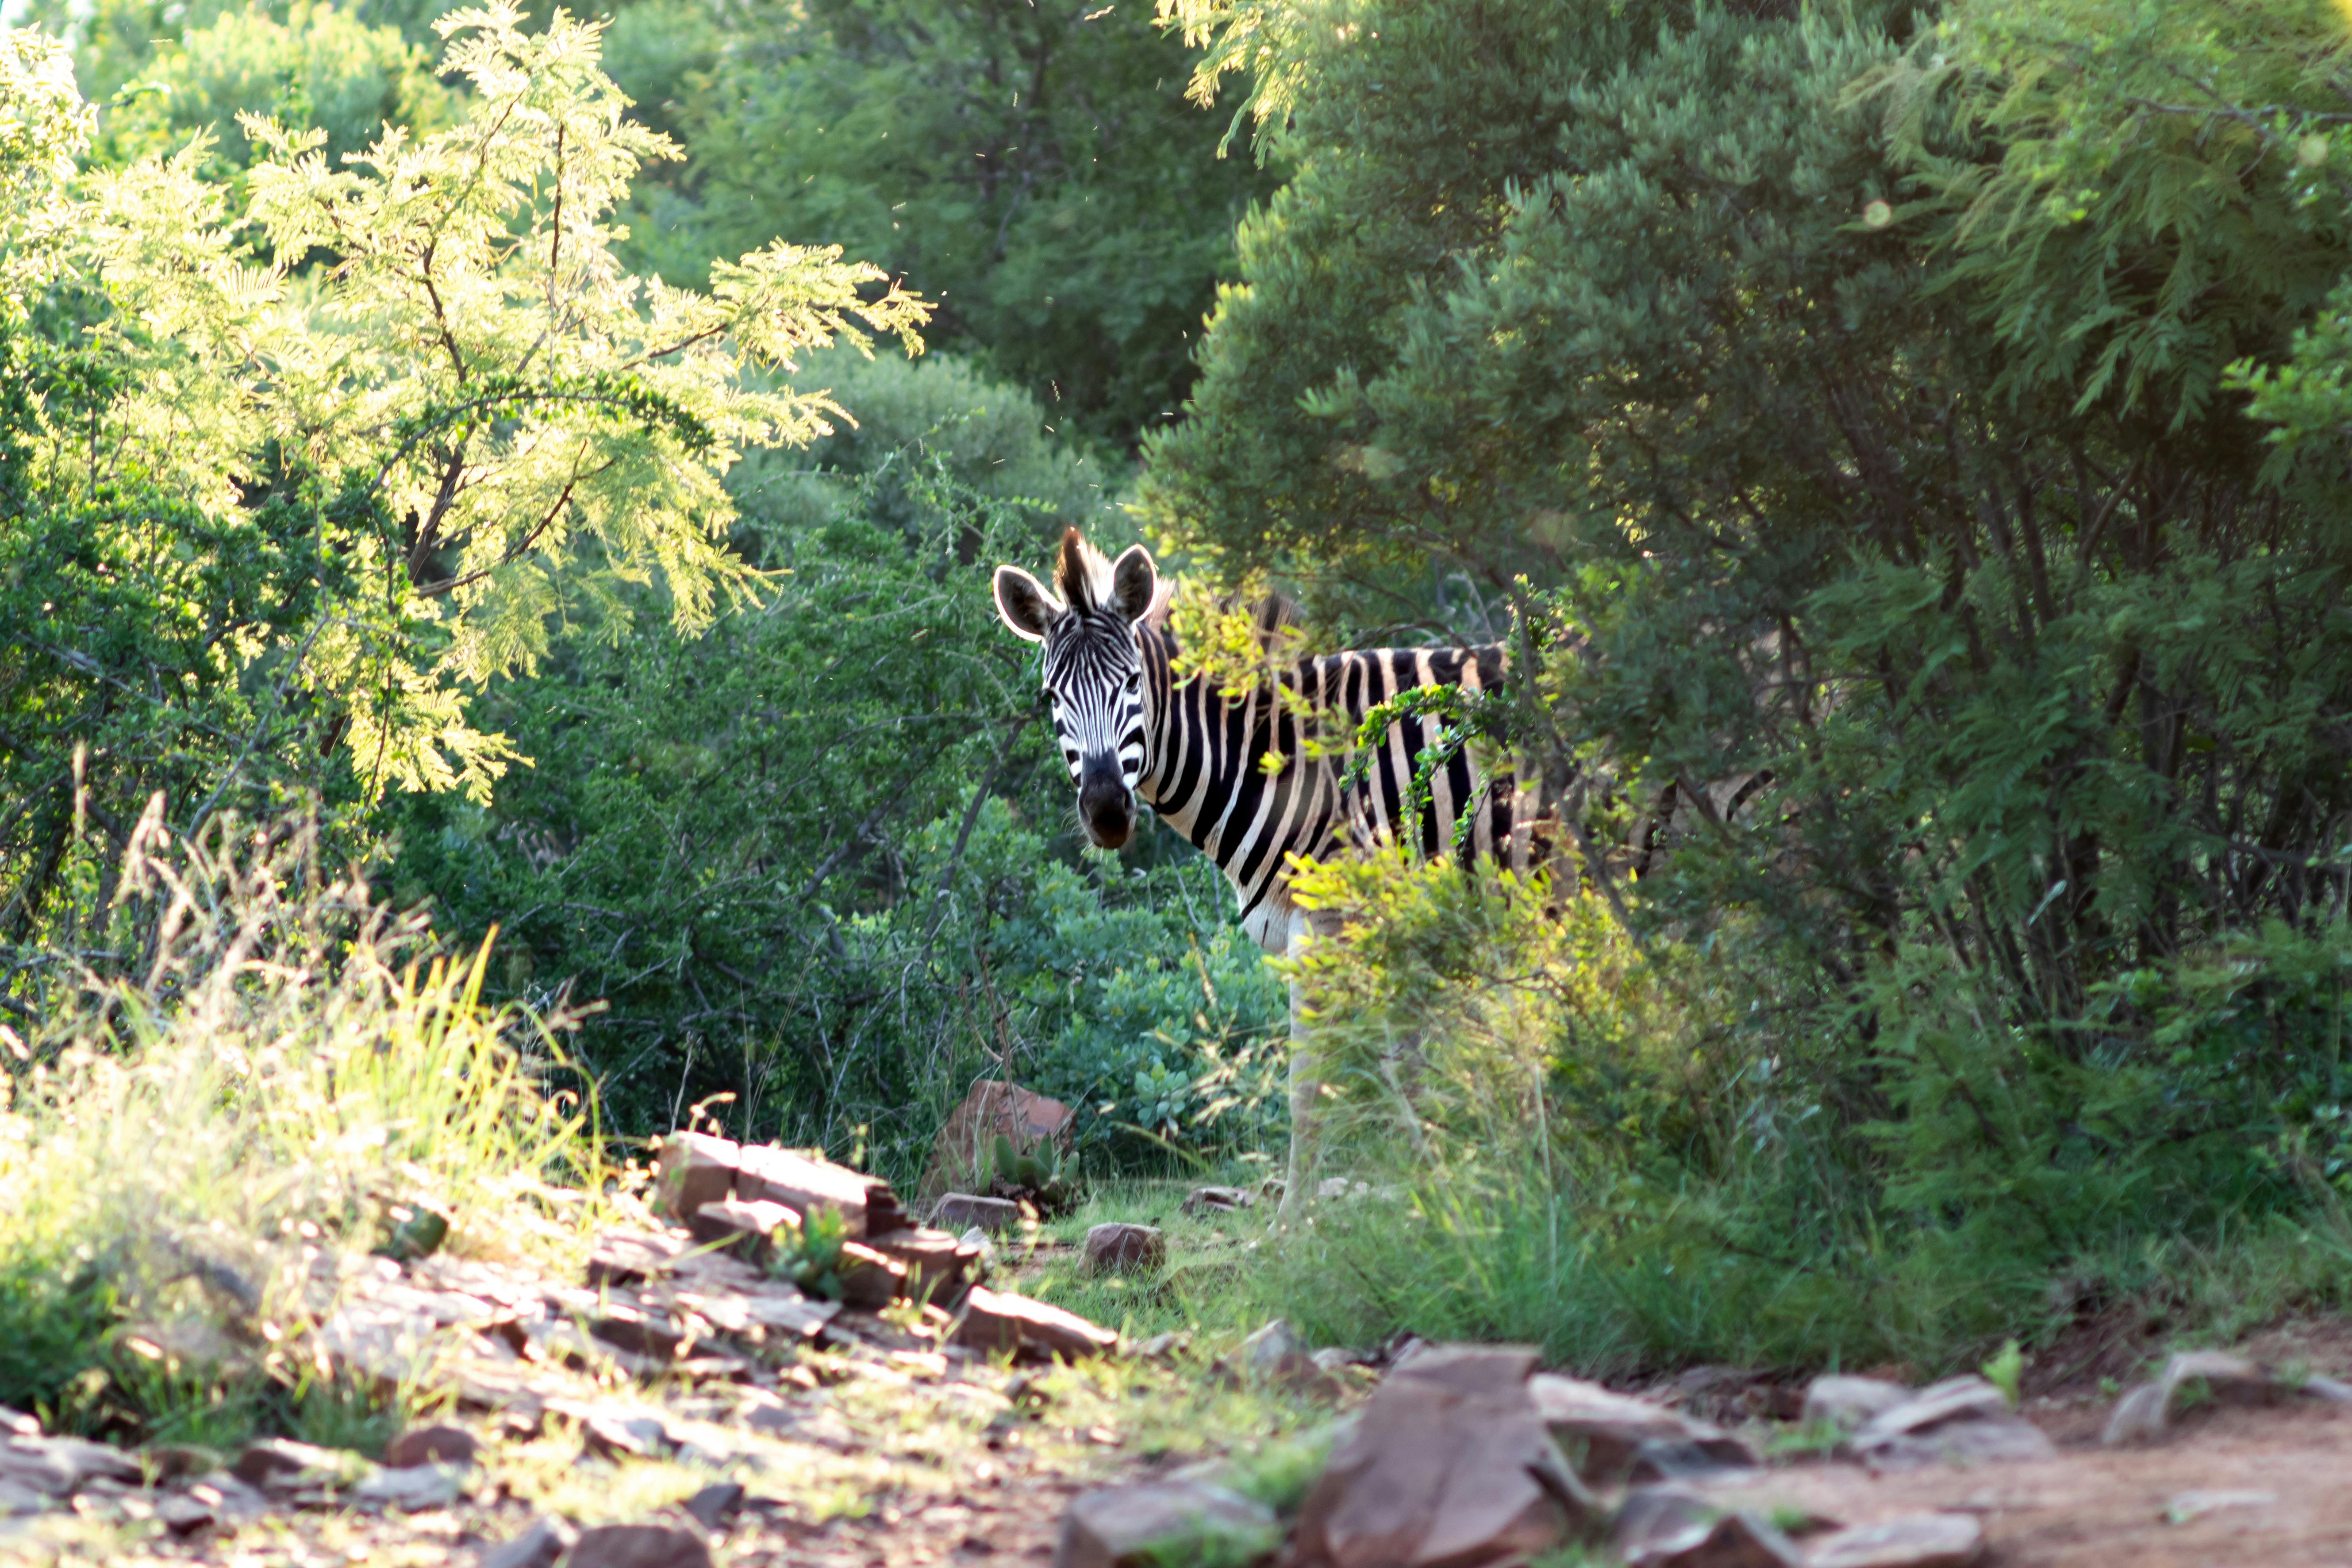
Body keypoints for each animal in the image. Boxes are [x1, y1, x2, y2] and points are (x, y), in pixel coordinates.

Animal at [992, 527, 1564, 1209]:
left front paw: (1296, 1222)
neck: (1289, 759)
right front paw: (1439, 1197)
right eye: (1052, 697)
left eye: (1131, 682)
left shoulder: (1330, 923)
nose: (1106, 810)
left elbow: (1309, 1088)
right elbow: (1408, 1077)